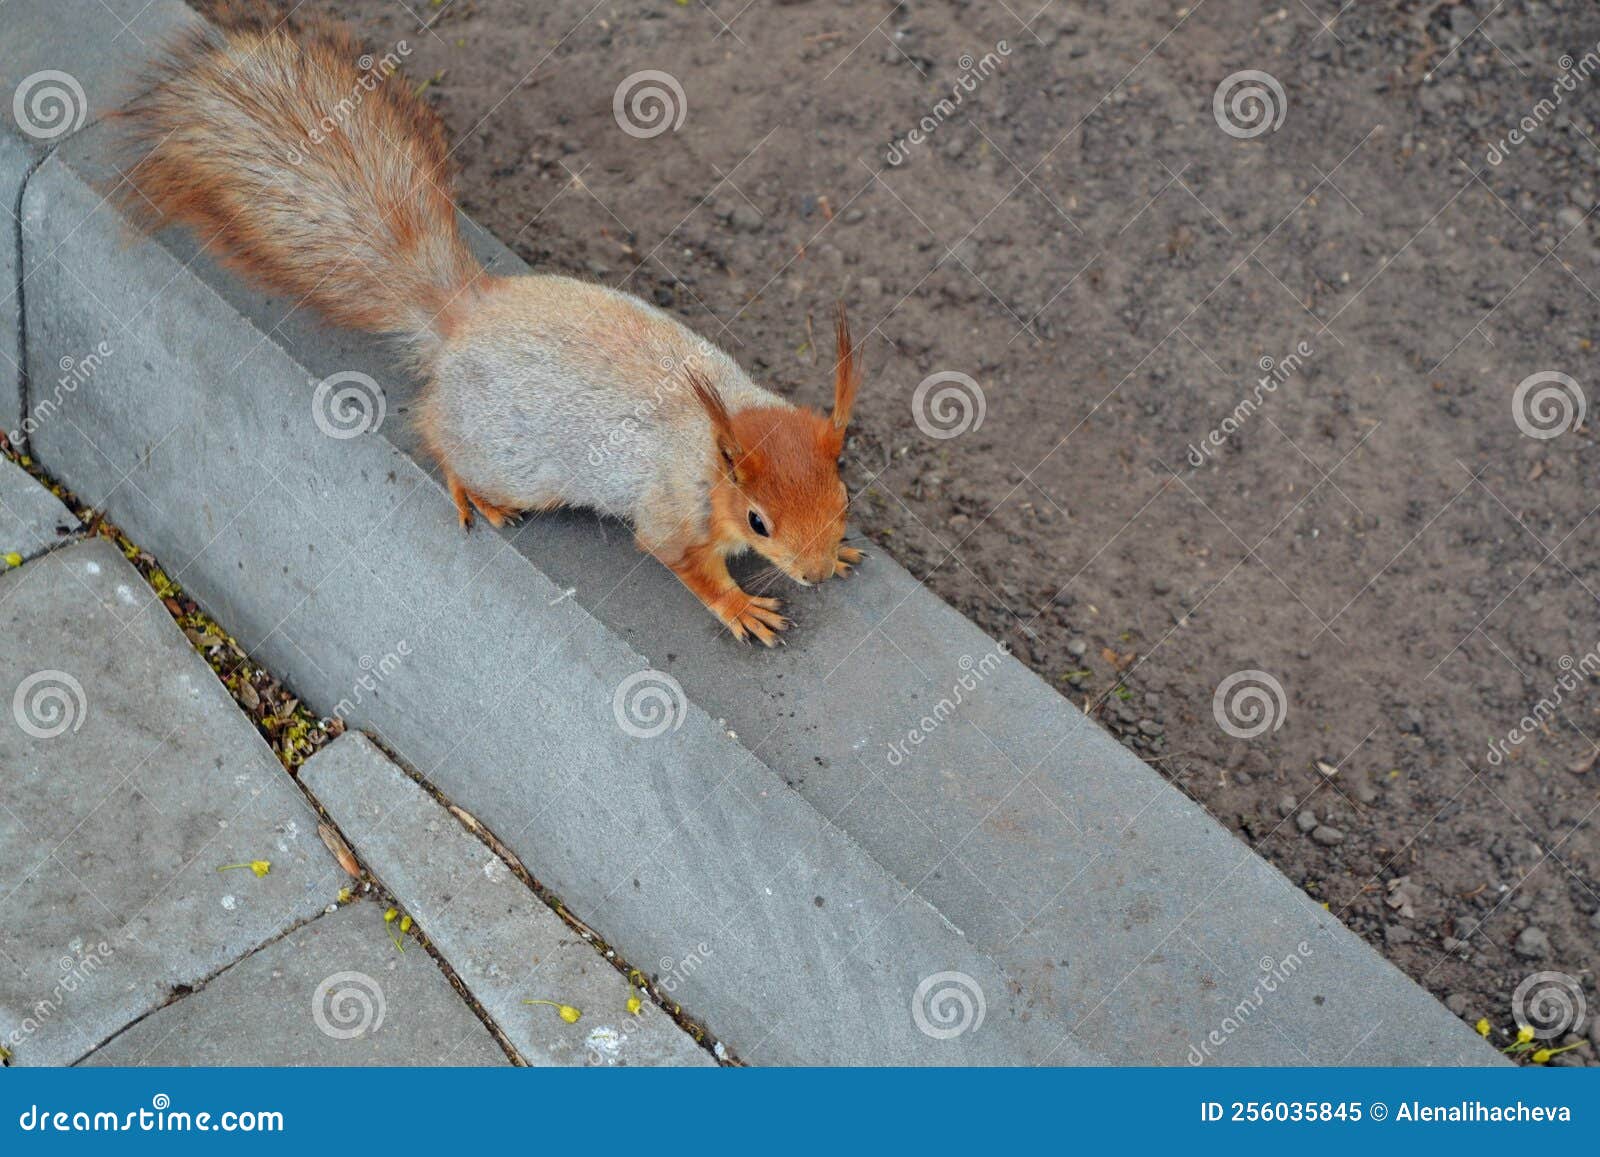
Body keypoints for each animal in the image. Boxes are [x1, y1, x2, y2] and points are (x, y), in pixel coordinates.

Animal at [118, 5, 863, 645]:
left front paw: (845, 551)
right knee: (435, 436)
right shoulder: (672, 512)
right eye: (759, 521)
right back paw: (474, 495)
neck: (717, 436)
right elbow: (681, 563)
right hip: (506, 457)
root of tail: (464, 317)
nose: (815, 573)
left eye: (844, 492)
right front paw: (740, 607)